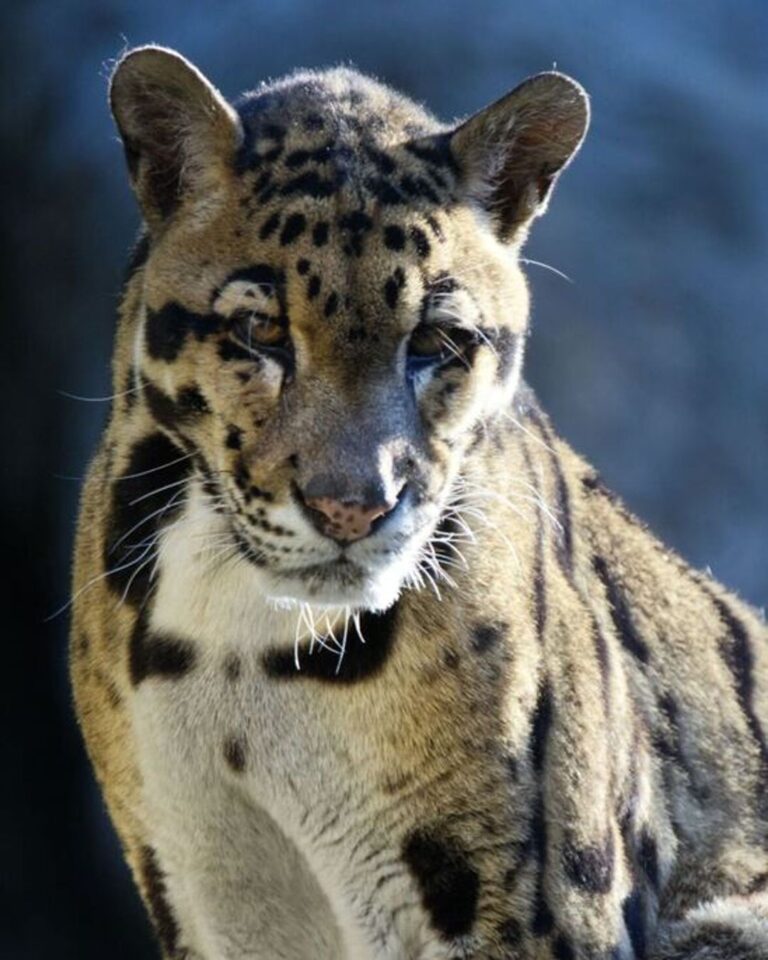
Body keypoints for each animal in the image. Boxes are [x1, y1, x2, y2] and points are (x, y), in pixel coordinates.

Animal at [70, 45, 768, 960]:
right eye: (260, 333)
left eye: (438, 342)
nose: (352, 508)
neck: (245, 651)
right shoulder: (205, 886)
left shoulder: (528, 908)